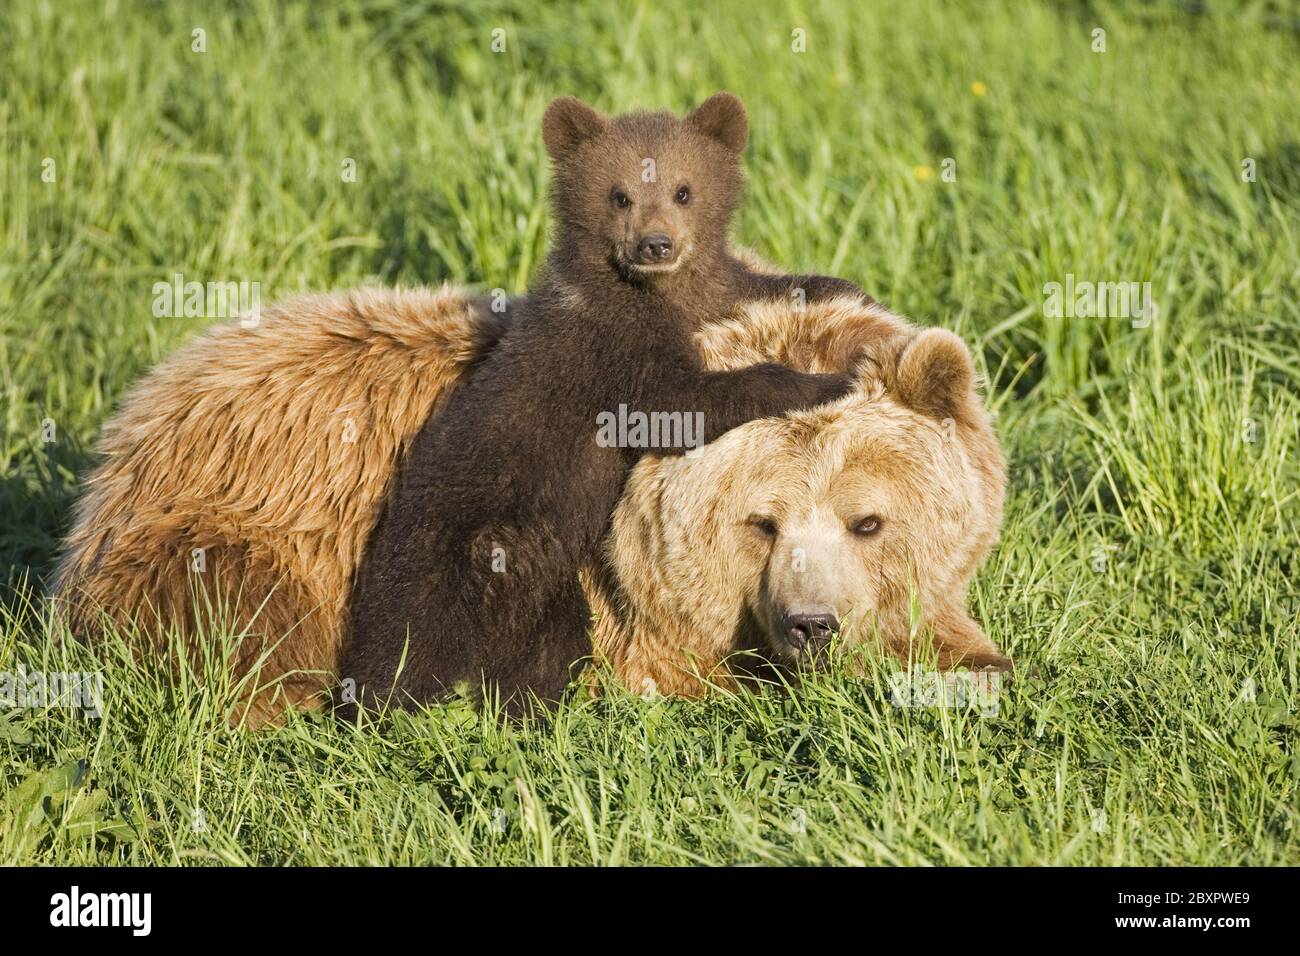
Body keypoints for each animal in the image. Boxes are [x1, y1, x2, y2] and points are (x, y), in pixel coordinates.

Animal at [342, 92, 870, 713]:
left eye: (683, 190)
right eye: (619, 194)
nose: (656, 244)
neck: (651, 294)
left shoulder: (703, 295)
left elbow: (747, 285)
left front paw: (843, 287)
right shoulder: (614, 352)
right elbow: (680, 403)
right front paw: (828, 380)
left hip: (543, 585)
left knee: (547, 651)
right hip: (443, 562)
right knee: (401, 660)